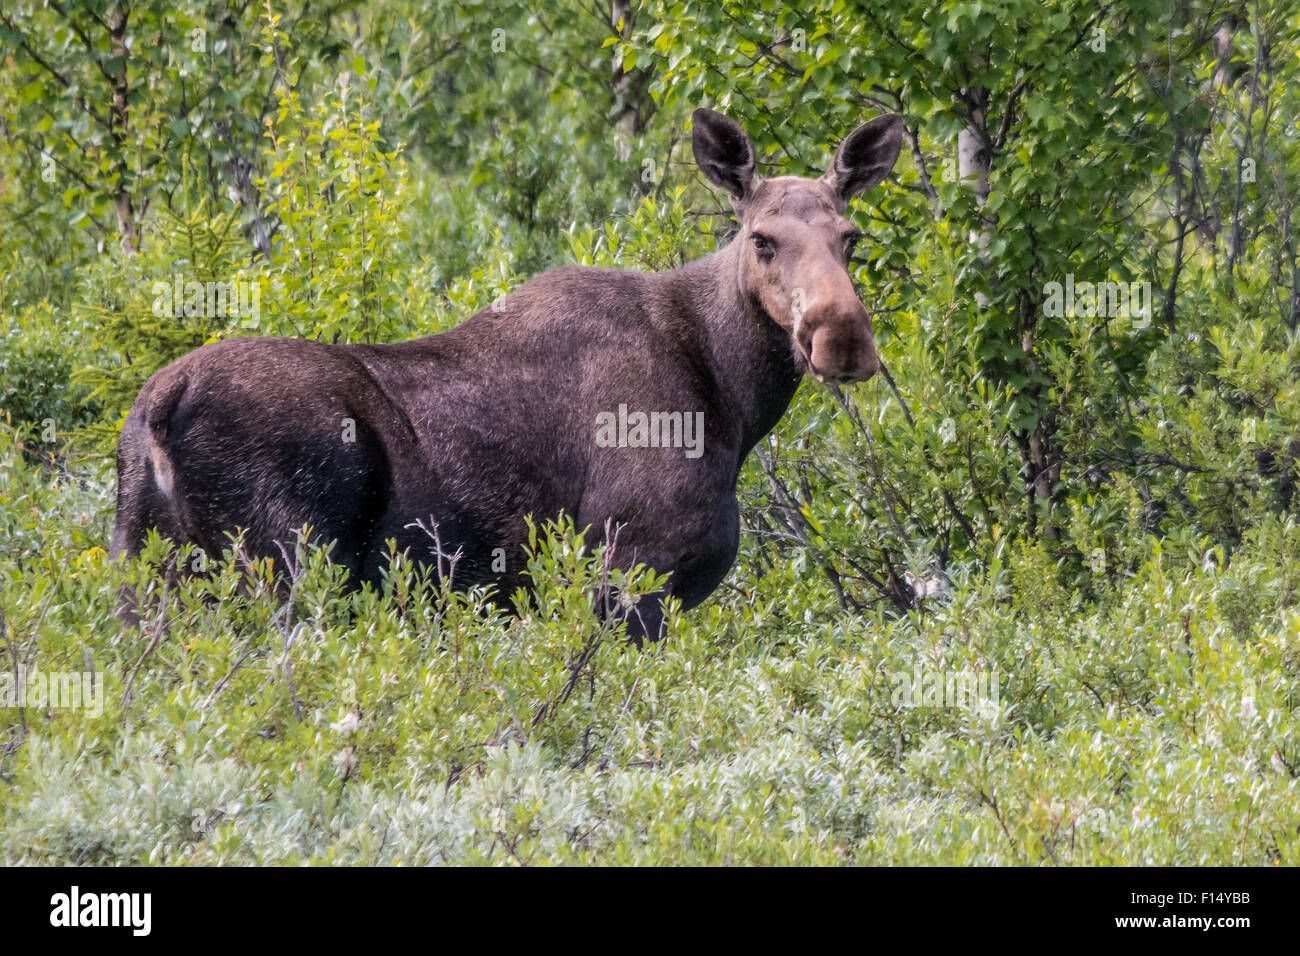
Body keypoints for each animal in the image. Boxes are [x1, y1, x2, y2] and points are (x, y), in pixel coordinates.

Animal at [108, 108, 904, 642]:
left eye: (850, 236)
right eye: (762, 239)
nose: (842, 337)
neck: (734, 404)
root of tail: (158, 410)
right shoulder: (630, 571)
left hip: (146, 573)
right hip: (290, 564)